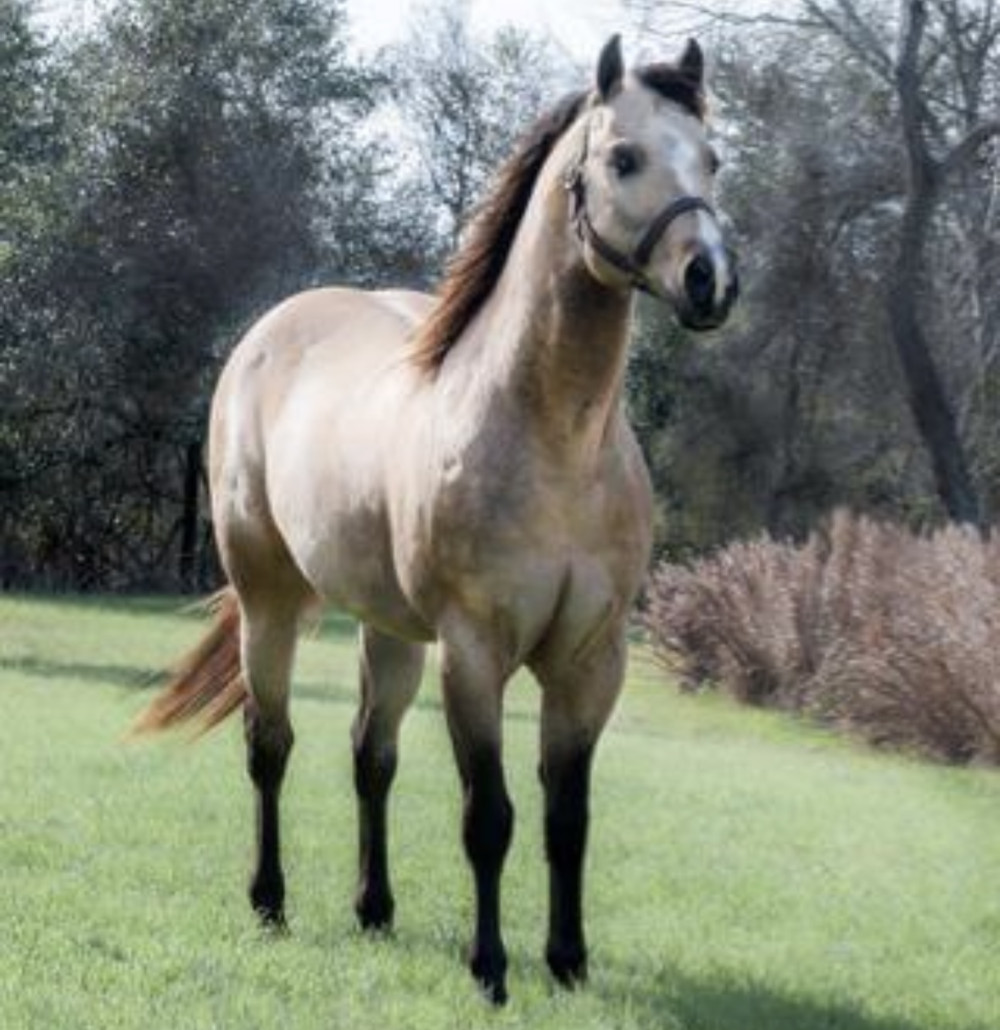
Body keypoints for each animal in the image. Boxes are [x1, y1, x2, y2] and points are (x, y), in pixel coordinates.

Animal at [134, 34, 738, 1004]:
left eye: (711, 160)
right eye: (623, 157)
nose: (710, 280)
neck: (553, 436)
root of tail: (270, 331)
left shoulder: (590, 660)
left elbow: (567, 817)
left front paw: (568, 962)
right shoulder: (474, 651)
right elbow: (488, 815)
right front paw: (490, 969)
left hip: (390, 632)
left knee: (368, 754)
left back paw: (374, 910)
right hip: (271, 605)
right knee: (271, 744)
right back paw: (270, 903)